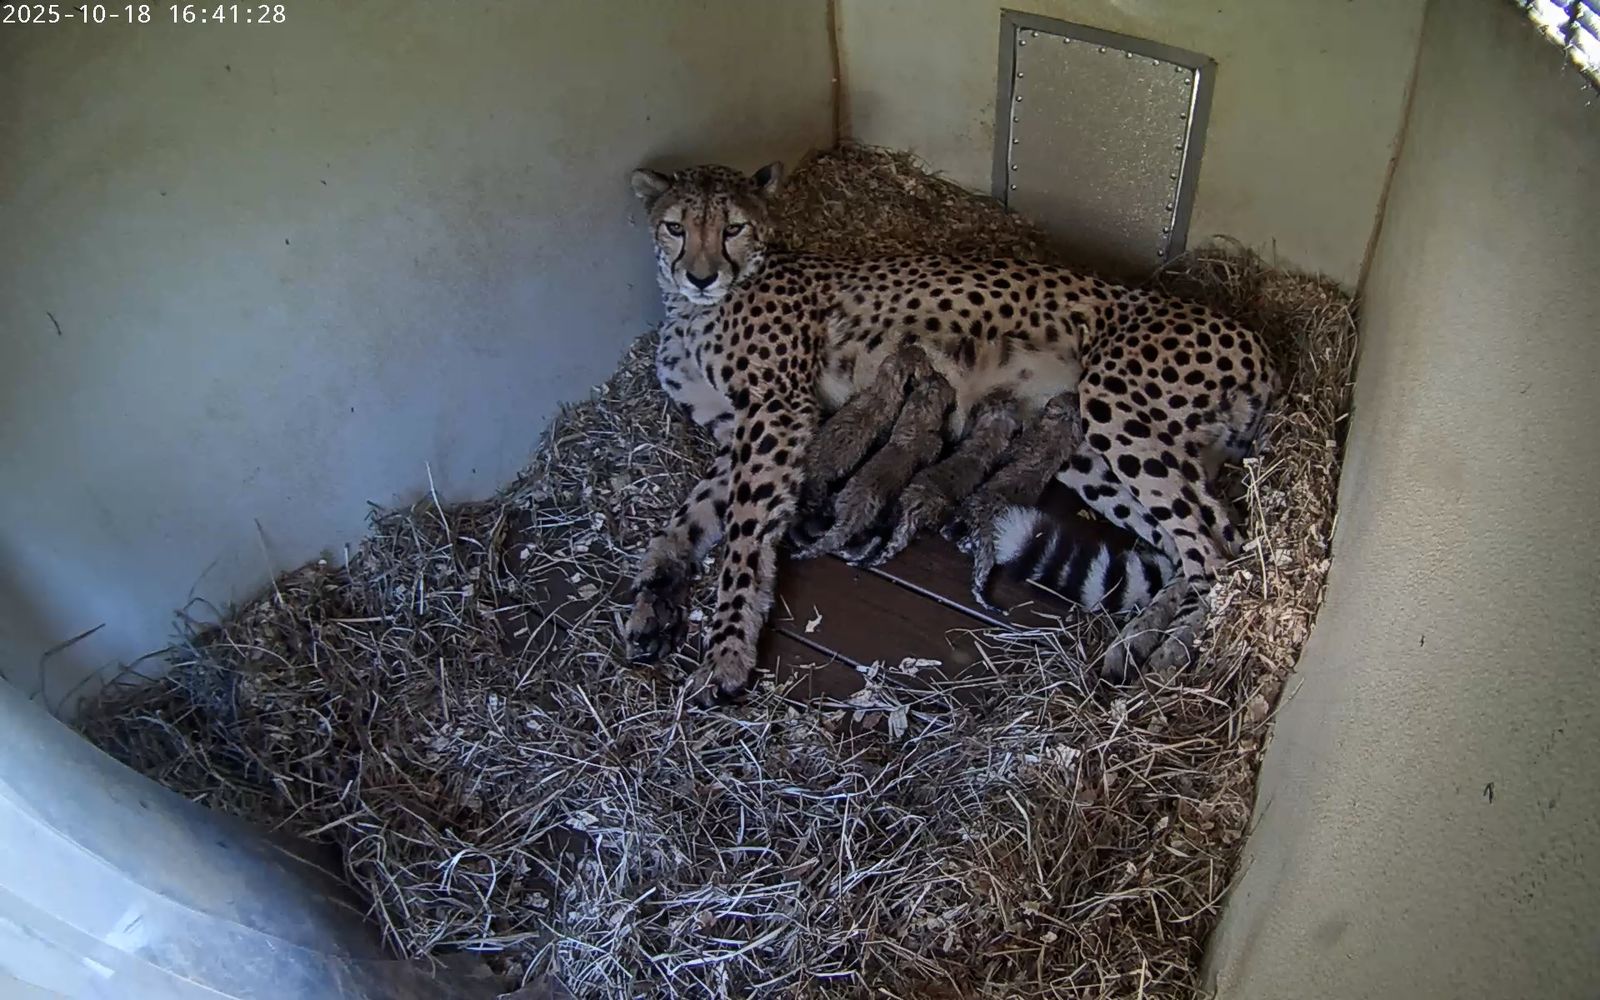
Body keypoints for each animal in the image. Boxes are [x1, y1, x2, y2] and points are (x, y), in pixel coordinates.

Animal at [623, 161, 1276, 701]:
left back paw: (1166, 648)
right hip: (1090, 449)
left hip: (1116, 408)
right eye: (675, 228)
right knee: (1192, 546)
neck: (693, 310)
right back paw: (1138, 639)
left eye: (733, 227)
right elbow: (689, 518)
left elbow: (743, 533)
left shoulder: (775, 412)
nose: (701, 276)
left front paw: (728, 649)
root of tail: (1256, 341)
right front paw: (654, 595)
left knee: (1217, 550)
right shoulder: (741, 429)